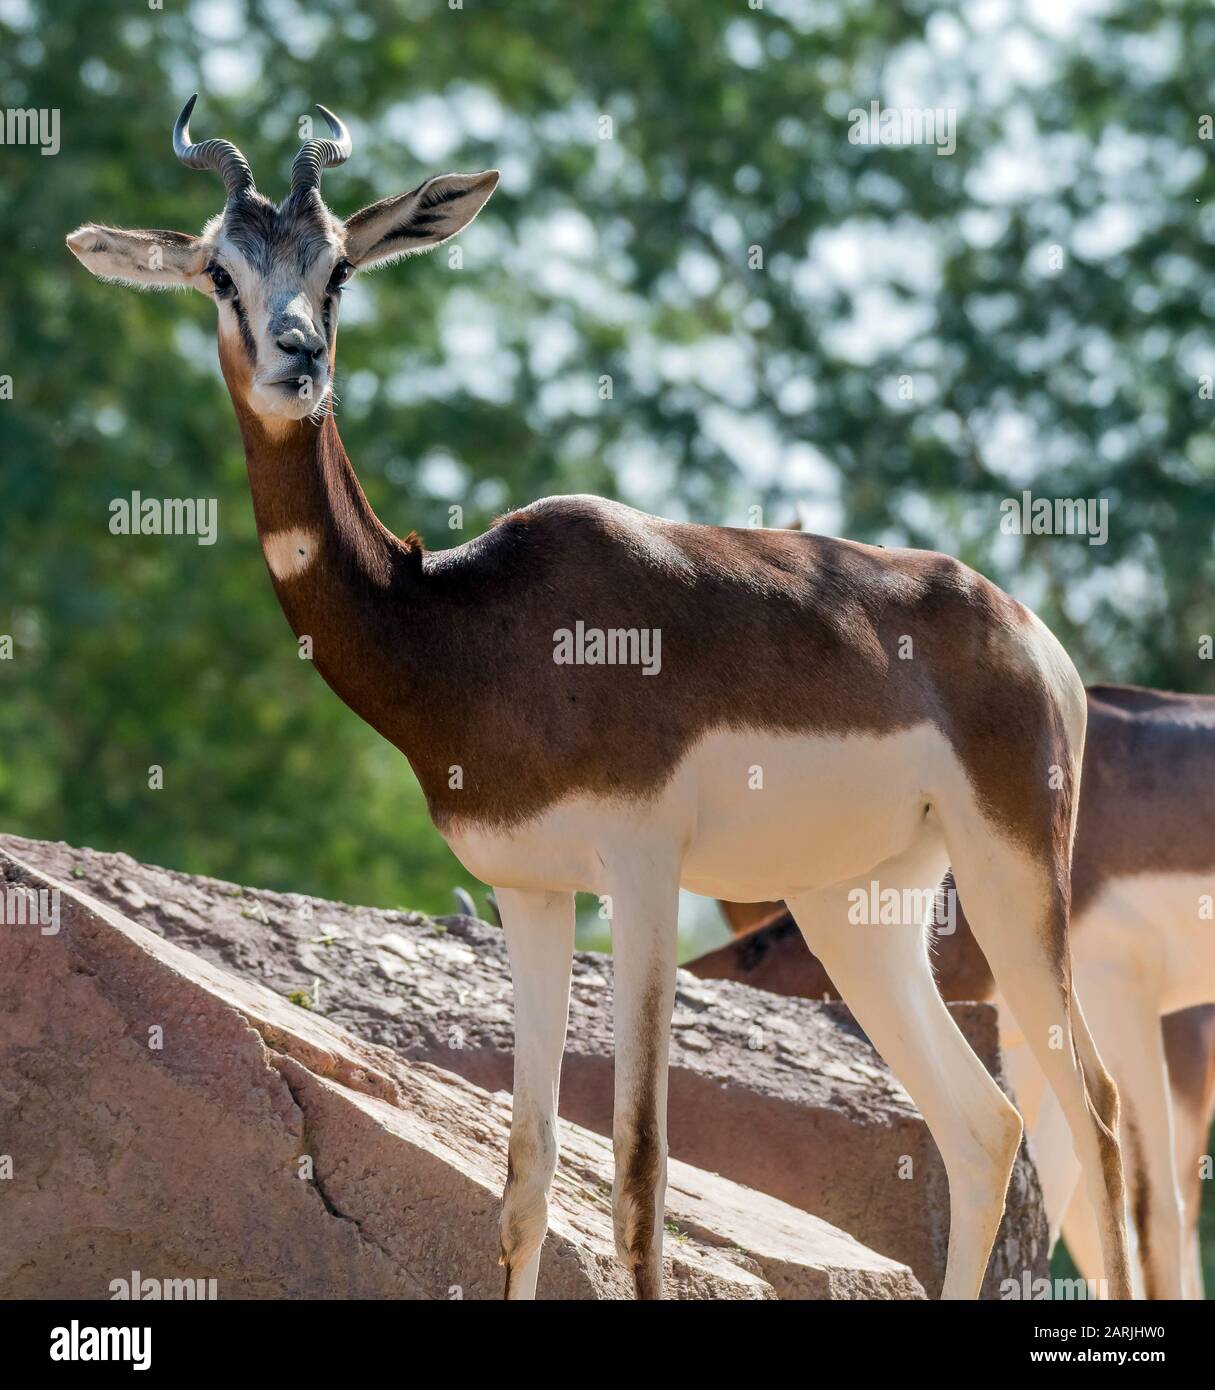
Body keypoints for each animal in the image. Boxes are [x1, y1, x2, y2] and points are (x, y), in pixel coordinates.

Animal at [67, 96, 1131, 1300]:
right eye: (218, 270)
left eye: (337, 266)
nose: (299, 356)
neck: (460, 624)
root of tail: (1027, 632)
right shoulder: (530, 892)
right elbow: (526, 1176)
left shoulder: (642, 871)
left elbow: (635, 1173)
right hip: (859, 906)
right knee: (983, 1124)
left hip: (1011, 872)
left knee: (1095, 1118)